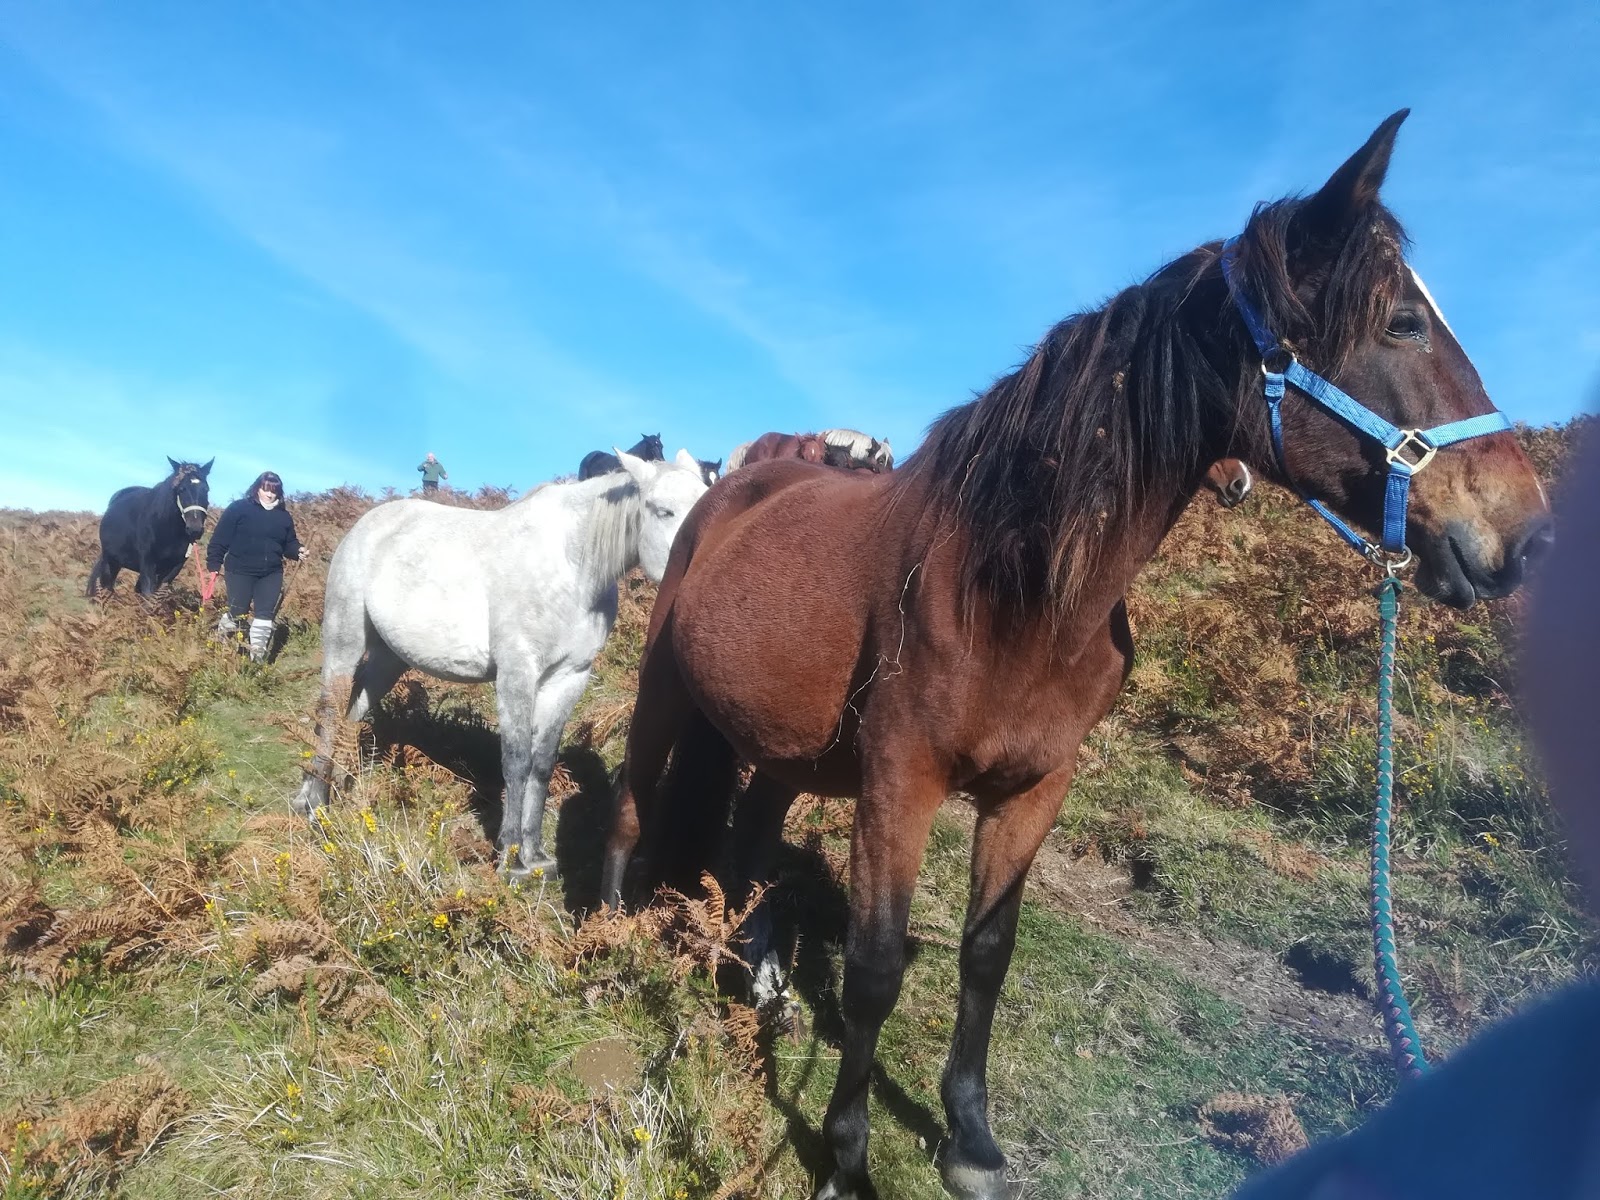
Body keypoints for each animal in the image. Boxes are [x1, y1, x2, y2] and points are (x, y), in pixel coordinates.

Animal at [87, 457, 214, 597]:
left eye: (206, 490)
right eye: (181, 489)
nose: (195, 529)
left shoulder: (175, 567)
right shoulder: (147, 563)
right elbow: (148, 595)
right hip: (109, 559)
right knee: (106, 584)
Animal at [293, 449, 709, 880]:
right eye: (663, 510)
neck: (572, 566)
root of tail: (367, 525)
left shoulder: (568, 679)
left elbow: (541, 764)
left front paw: (536, 854)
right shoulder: (517, 672)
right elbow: (516, 761)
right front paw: (511, 857)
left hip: (390, 660)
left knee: (352, 712)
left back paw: (332, 787)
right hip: (344, 641)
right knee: (329, 714)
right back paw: (314, 803)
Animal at [600, 112, 1552, 1200]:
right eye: (1401, 323)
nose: (1527, 536)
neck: (1013, 589)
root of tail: (738, 481)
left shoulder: (1034, 788)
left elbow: (986, 953)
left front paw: (969, 1138)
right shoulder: (900, 782)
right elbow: (876, 969)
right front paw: (844, 1160)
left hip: (788, 745)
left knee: (751, 838)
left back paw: (762, 983)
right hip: (665, 693)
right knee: (632, 801)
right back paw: (605, 935)